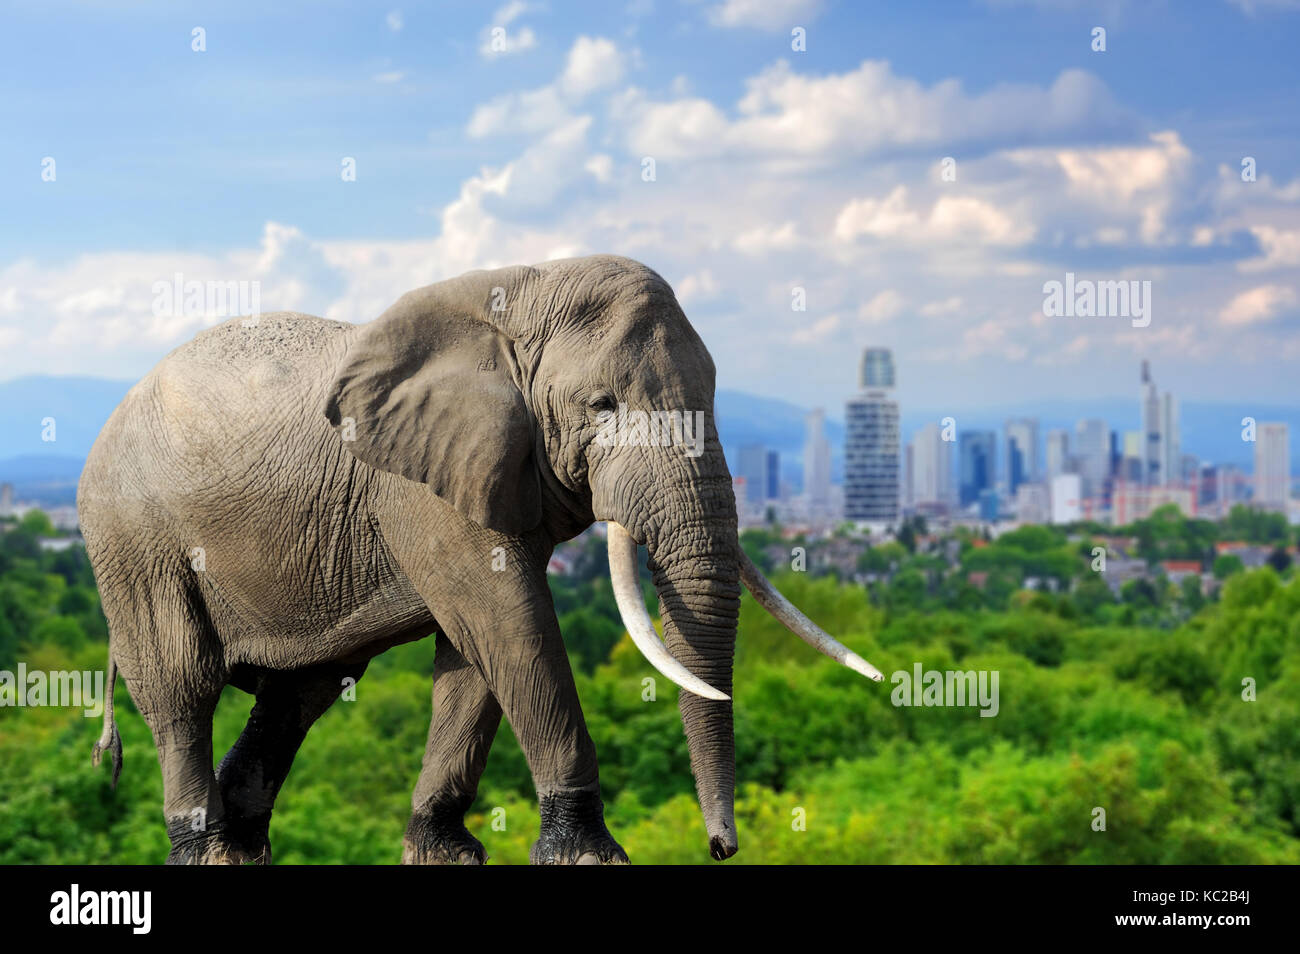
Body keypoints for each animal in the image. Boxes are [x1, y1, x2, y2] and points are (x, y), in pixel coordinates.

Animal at [78, 254, 882, 864]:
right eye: (601, 406)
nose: (722, 848)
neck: (524, 291)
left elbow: (475, 651)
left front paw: (441, 850)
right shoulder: (421, 485)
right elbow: (508, 622)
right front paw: (587, 856)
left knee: (300, 691)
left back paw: (240, 847)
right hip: (133, 540)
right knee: (183, 683)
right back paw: (205, 850)